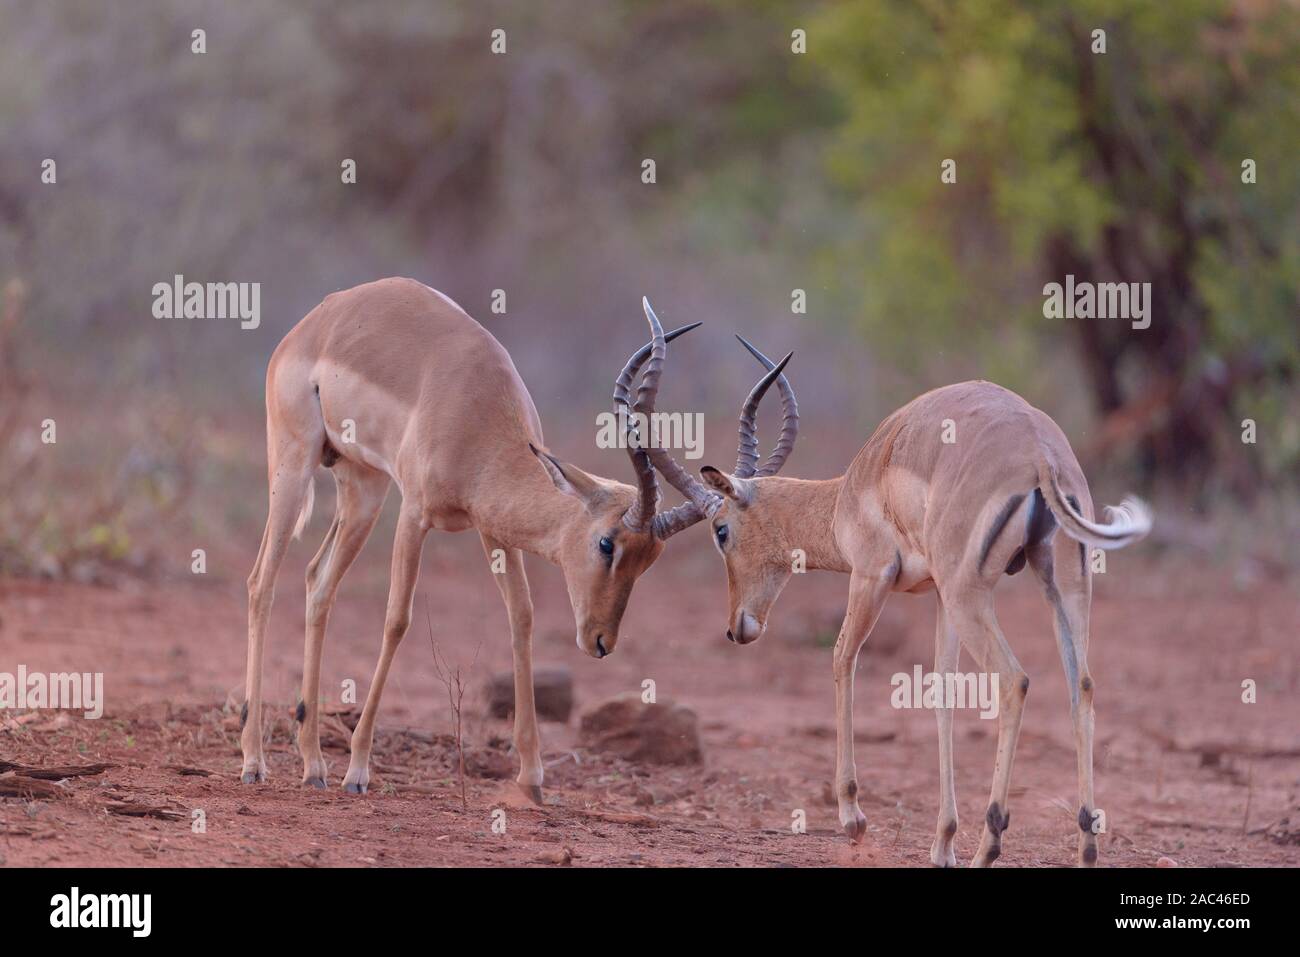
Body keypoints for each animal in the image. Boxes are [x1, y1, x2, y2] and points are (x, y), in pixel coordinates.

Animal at [240, 279, 716, 800]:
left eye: (650, 559)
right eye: (607, 543)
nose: (600, 641)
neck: (475, 404)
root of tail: (314, 323)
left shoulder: (493, 530)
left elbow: (521, 617)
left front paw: (531, 778)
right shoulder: (414, 515)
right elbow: (397, 620)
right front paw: (359, 770)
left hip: (363, 488)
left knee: (318, 581)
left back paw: (313, 765)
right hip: (294, 464)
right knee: (262, 582)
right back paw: (254, 762)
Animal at [691, 338, 1152, 867]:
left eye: (721, 530)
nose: (737, 627)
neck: (853, 487)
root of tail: (1041, 457)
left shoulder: (871, 577)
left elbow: (842, 658)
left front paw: (853, 818)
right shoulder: (938, 597)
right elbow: (941, 690)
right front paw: (942, 842)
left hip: (971, 594)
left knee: (1014, 679)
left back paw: (988, 846)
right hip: (1063, 587)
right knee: (1083, 687)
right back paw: (1086, 847)